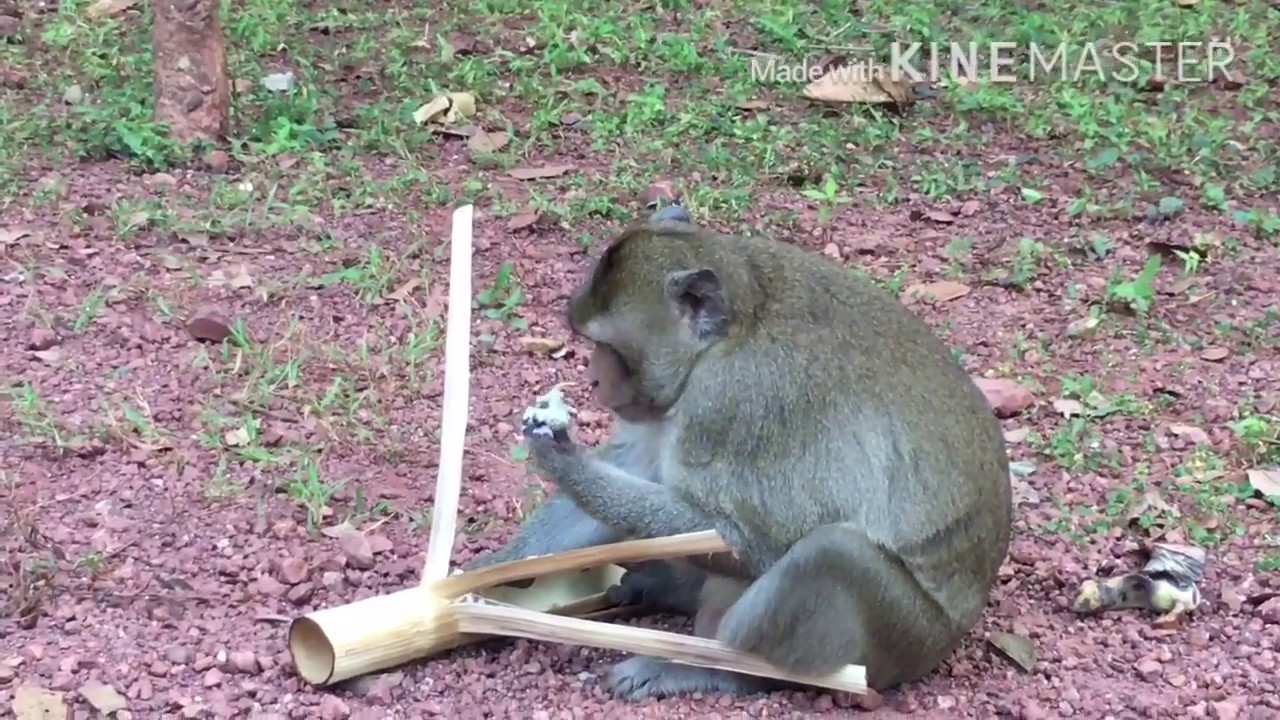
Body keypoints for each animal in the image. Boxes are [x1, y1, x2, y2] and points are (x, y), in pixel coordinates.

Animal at [507, 213, 1012, 702]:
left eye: (609, 347)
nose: (594, 379)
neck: (738, 323)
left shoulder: (735, 403)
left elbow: (750, 543)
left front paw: (563, 460)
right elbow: (636, 464)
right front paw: (497, 573)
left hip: (903, 640)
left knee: (830, 555)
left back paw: (711, 669)